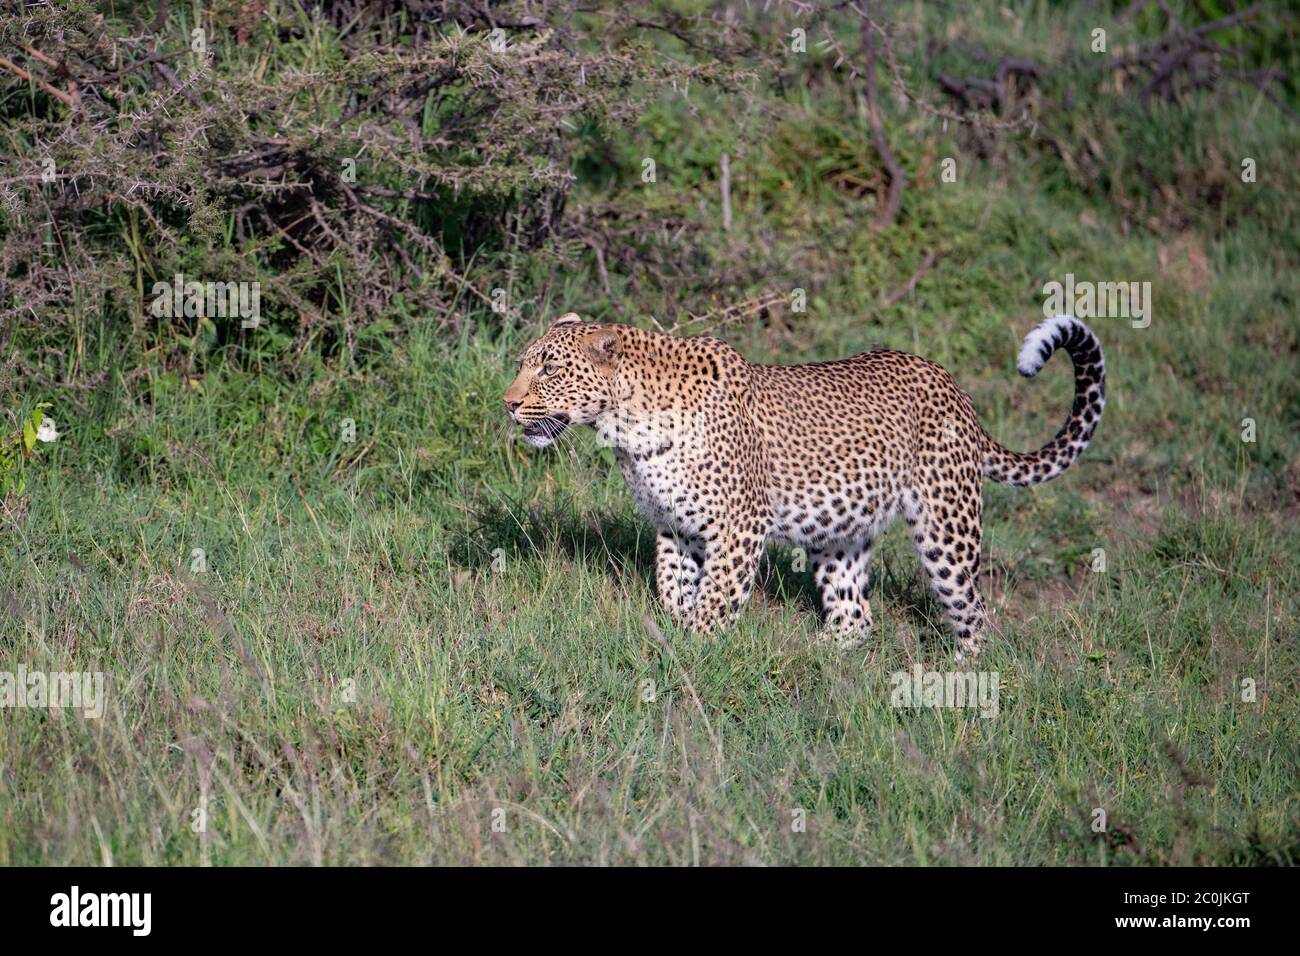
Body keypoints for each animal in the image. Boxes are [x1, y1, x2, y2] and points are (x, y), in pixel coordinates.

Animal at [502, 311, 1105, 658]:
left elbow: (715, 599)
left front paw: (693, 653)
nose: (508, 403)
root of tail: (950, 383)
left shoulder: (738, 525)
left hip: (947, 530)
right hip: (840, 534)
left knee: (975, 613)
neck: (626, 423)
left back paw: (966, 677)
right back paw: (821, 654)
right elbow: (673, 586)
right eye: (524, 363)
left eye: (550, 369)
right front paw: (672, 631)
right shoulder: (676, 527)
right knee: (856, 616)